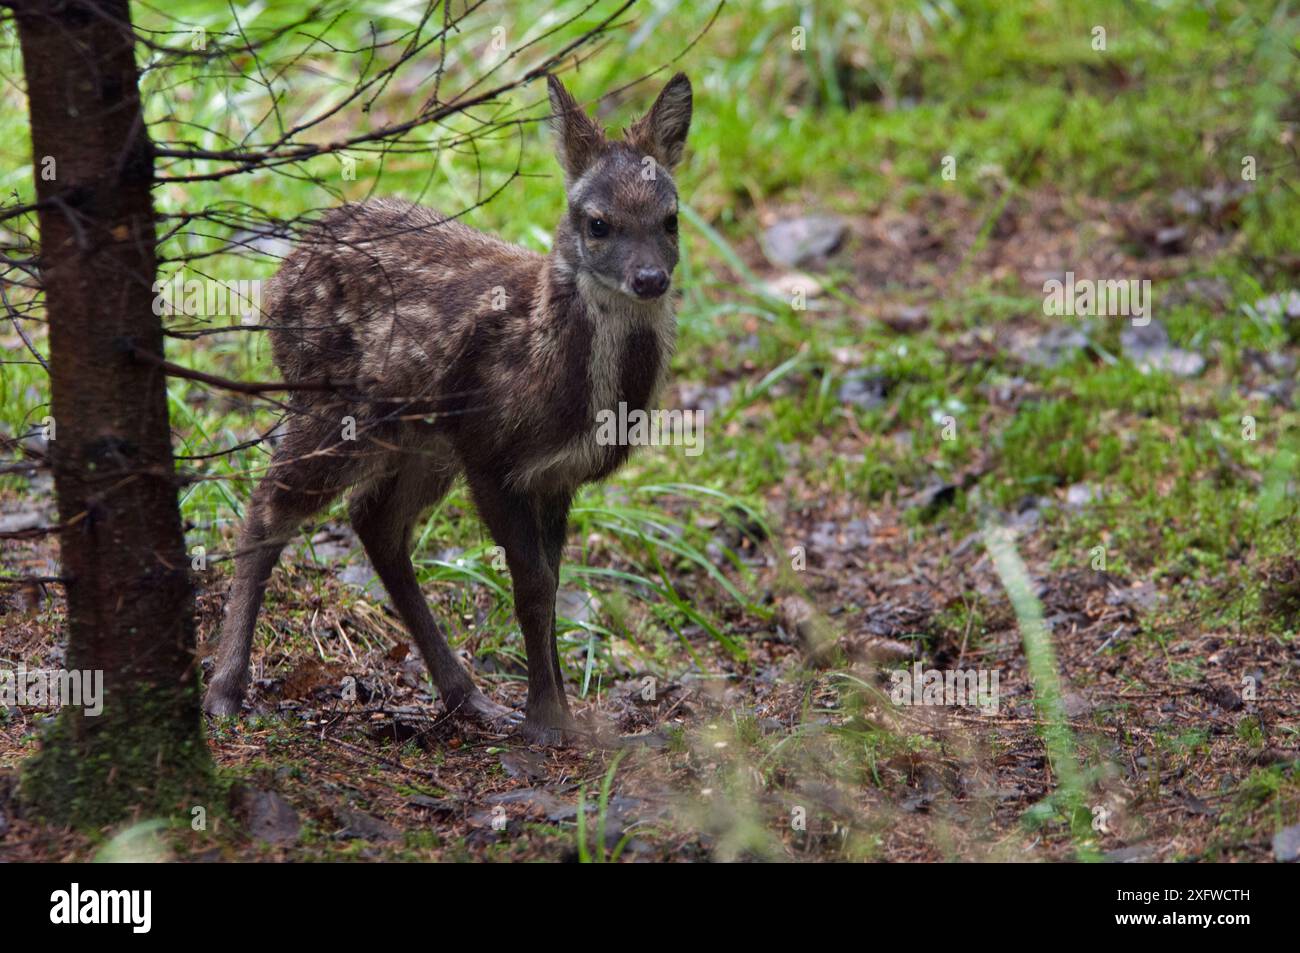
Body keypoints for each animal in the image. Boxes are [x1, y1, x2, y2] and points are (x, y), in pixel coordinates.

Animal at [202, 72, 693, 745]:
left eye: (671, 219)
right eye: (597, 222)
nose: (649, 279)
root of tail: (277, 278)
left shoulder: (554, 476)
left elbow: (552, 581)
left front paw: (562, 712)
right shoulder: (488, 449)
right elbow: (532, 586)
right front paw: (547, 720)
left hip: (420, 443)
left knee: (373, 522)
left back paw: (467, 696)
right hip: (333, 404)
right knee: (267, 509)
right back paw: (224, 691)